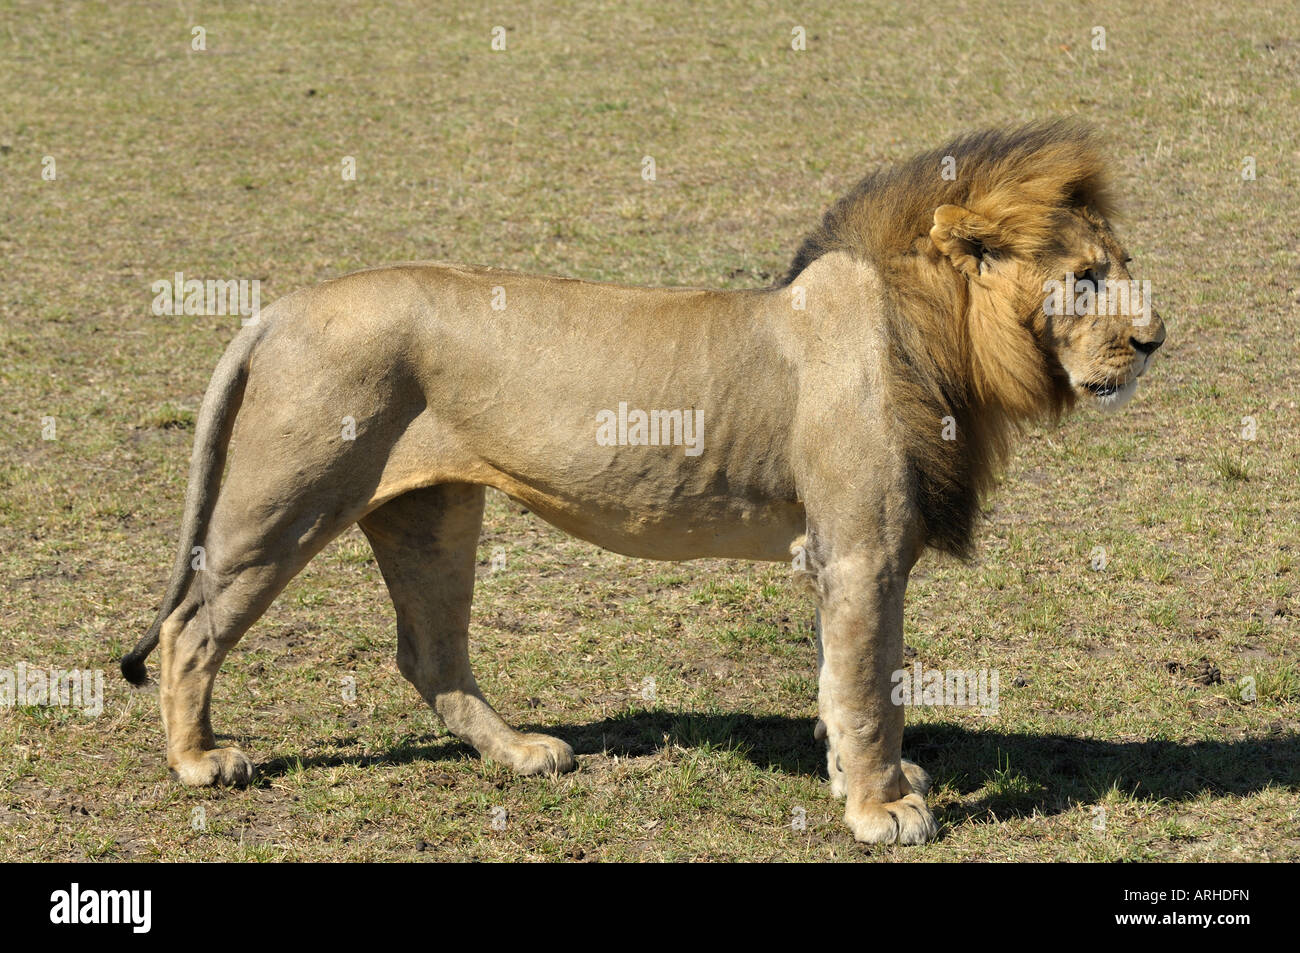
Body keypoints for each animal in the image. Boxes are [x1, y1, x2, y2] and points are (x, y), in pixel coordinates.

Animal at [121, 119, 1165, 844]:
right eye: (1083, 278)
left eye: (1120, 266)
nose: (1154, 341)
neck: (932, 334)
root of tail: (278, 307)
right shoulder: (862, 551)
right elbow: (873, 687)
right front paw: (884, 810)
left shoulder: (851, 557)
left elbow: (848, 685)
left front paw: (869, 784)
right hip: (287, 500)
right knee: (189, 629)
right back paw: (200, 761)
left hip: (431, 512)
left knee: (429, 654)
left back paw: (523, 755)